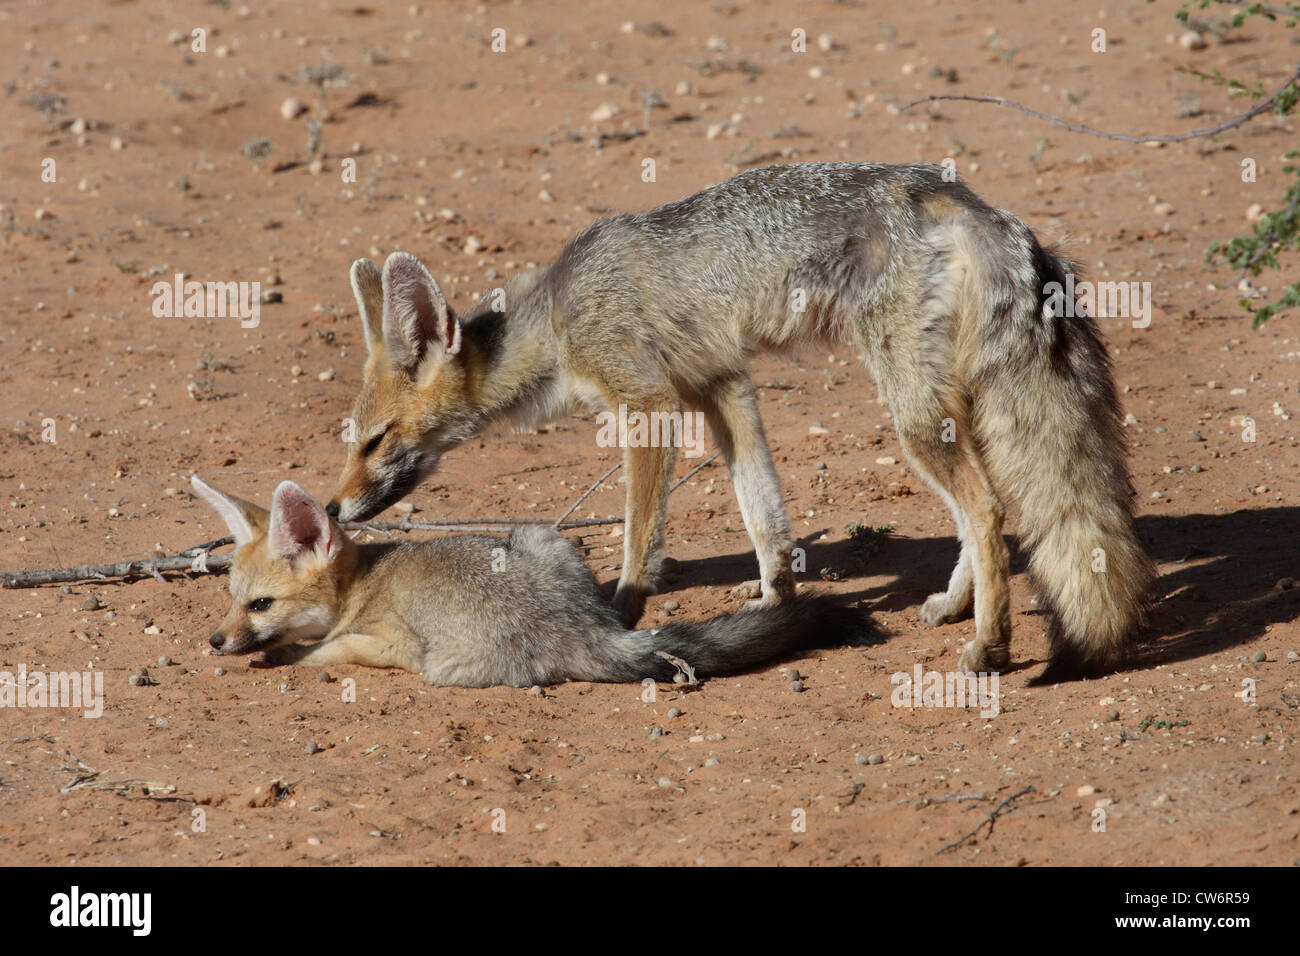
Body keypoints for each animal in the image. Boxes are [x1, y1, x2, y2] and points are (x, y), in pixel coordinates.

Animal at [190, 476, 868, 687]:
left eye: (260, 605)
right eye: (230, 601)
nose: (214, 642)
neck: (363, 584)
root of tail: (579, 625)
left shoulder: (389, 643)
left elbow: (319, 651)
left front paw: (281, 655)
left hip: (441, 668)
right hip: (542, 536)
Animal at [327, 161, 1155, 682]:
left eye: (375, 441)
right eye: (353, 442)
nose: (333, 509)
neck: (557, 320)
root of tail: (959, 197)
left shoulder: (647, 403)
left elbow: (640, 538)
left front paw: (623, 614)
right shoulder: (723, 389)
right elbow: (764, 514)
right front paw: (775, 603)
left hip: (912, 411)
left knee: (985, 509)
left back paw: (990, 644)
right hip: (938, 407)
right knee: (982, 513)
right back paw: (956, 606)